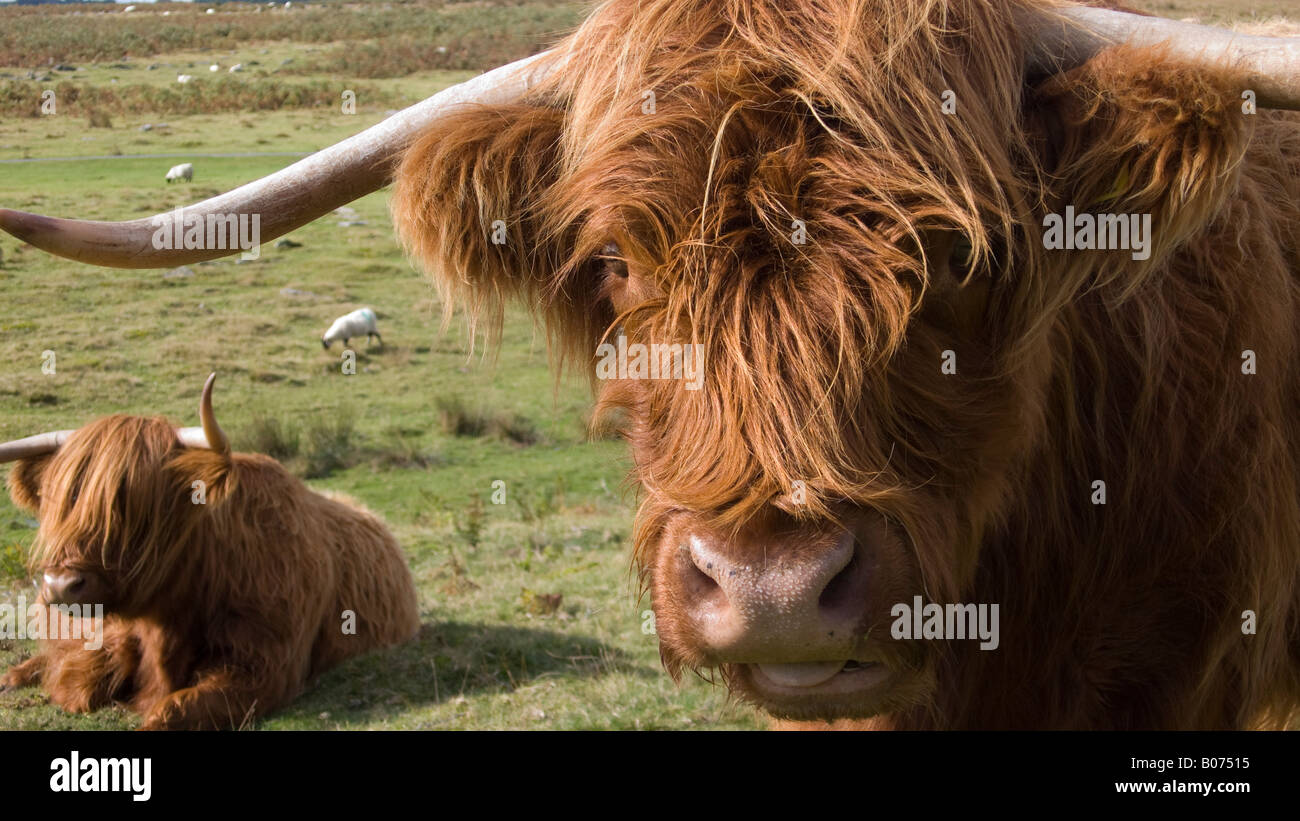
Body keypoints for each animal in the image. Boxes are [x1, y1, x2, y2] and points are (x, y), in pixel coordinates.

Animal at [0, 375, 420, 729]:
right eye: (60, 501)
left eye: (138, 503)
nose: (61, 584)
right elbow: (80, 681)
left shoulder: (268, 666)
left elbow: (171, 709)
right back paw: (11, 677)